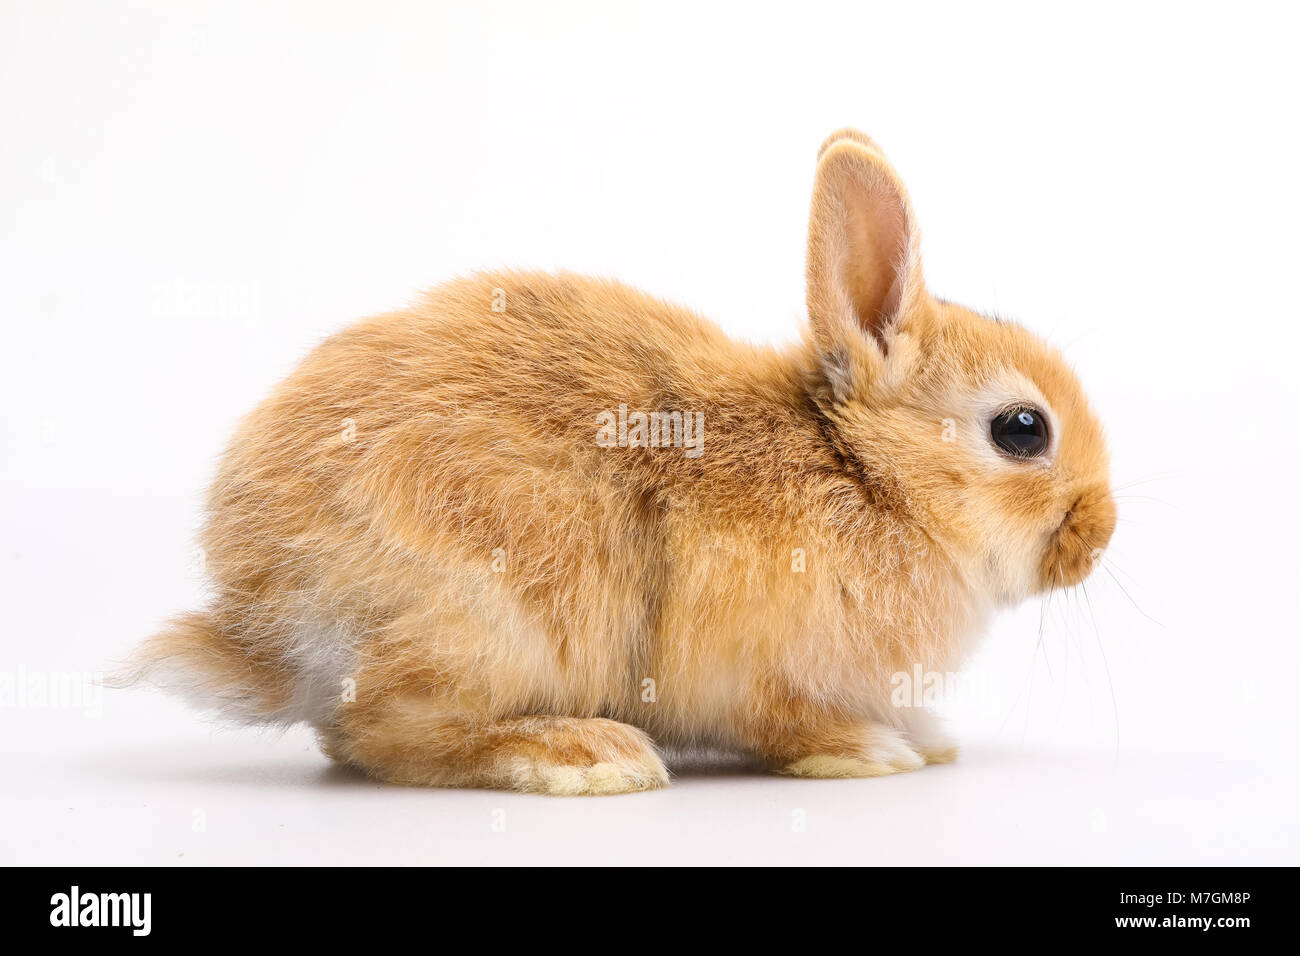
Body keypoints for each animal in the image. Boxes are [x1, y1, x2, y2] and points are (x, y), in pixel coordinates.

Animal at [125, 128, 1116, 794]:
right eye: (1021, 430)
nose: (1100, 534)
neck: (867, 477)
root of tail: (263, 618)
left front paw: (930, 737)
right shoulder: (755, 674)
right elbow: (785, 723)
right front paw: (872, 752)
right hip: (495, 613)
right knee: (384, 736)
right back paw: (583, 754)